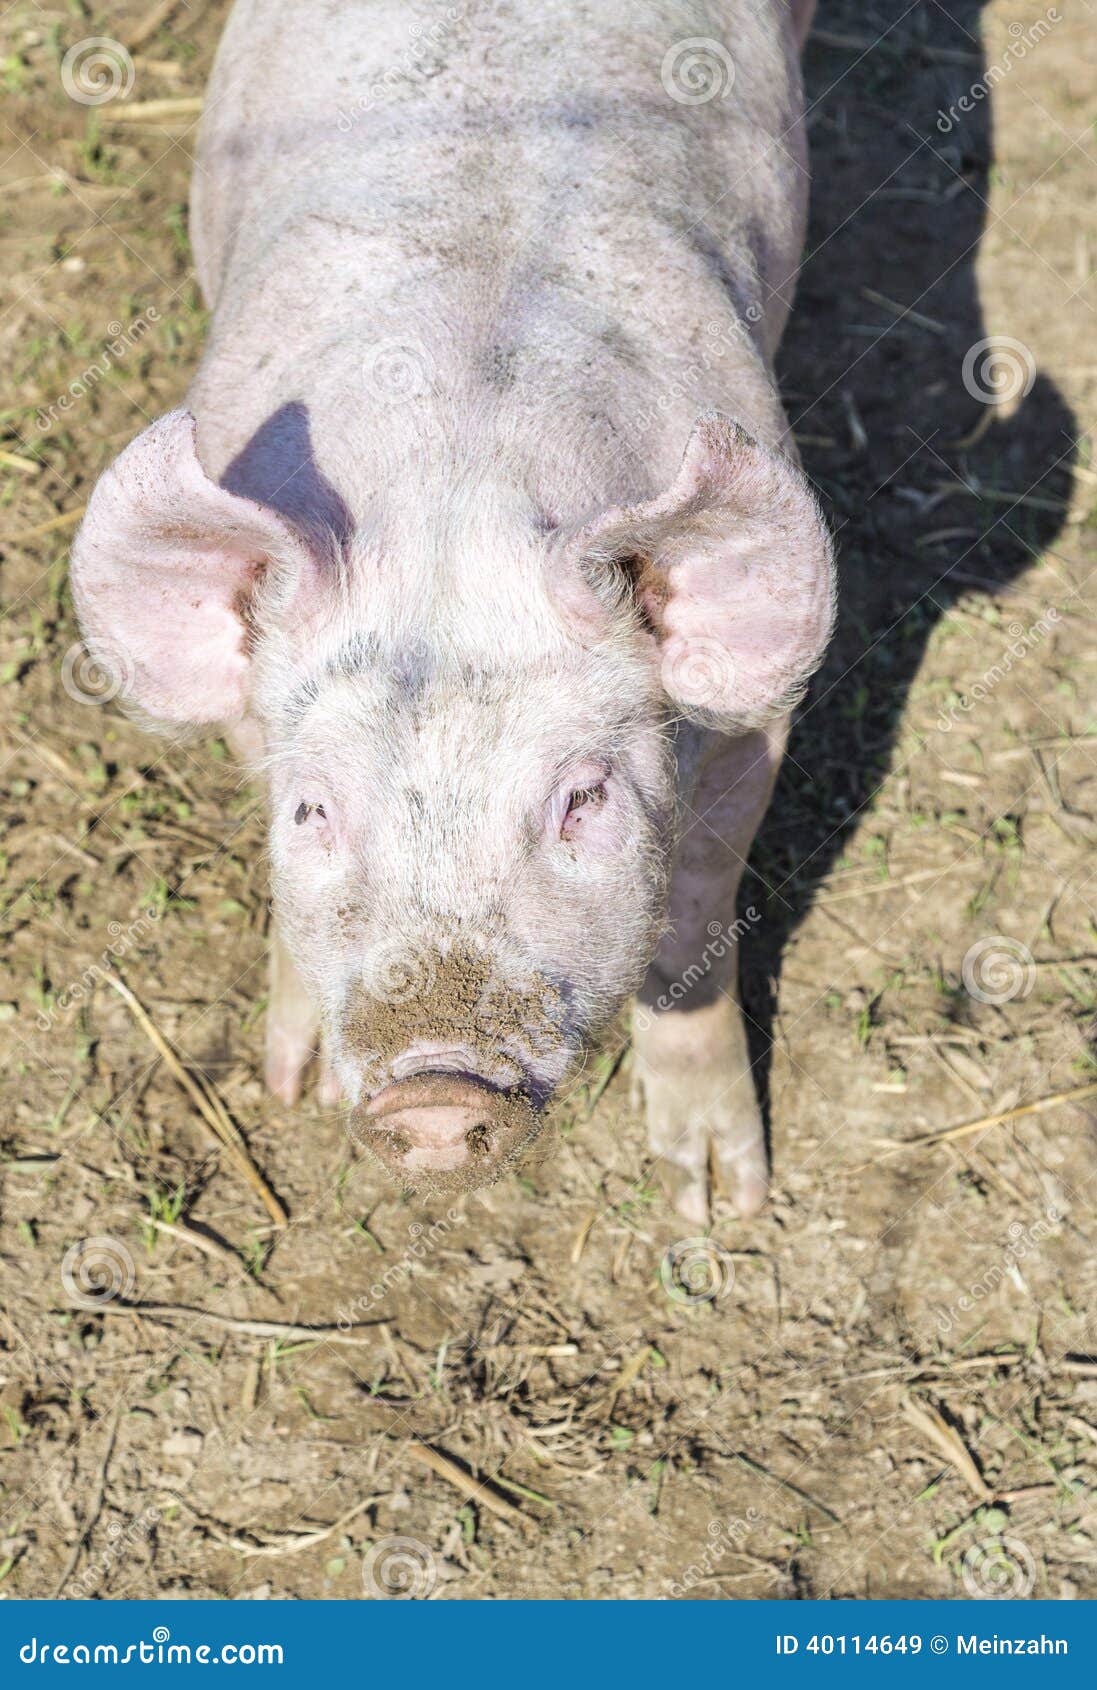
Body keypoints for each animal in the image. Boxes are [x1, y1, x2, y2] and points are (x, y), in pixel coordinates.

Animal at [70, 0, 833, 1225]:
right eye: (312, 812)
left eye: (581, 801)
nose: (433, 1089)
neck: (456, 495)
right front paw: (289, 1087)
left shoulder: (753, 718)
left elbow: (697, 915)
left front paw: (718, 1202)